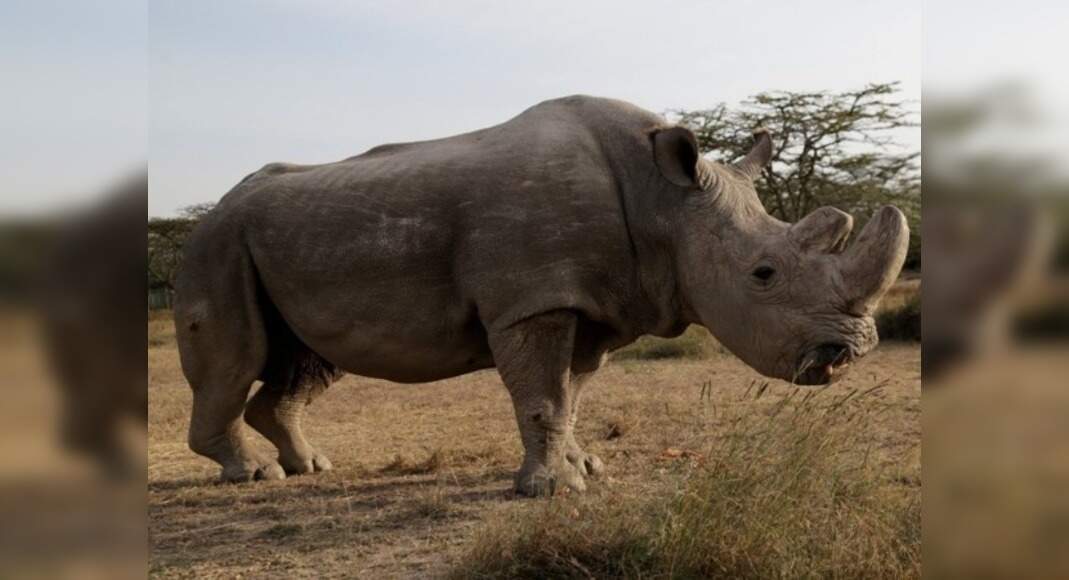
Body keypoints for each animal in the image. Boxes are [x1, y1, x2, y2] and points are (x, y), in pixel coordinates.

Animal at [175, 95, 908, 495]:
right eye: (763, 273)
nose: (848, 353)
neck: (664, 202)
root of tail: (212, 209)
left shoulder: (595, 304)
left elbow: (570, 397)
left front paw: (587, 467)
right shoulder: (532, 301)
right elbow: (541, 397)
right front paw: (551, 491)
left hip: (279, 243)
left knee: (306, 362)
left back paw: (310, 468)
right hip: (217, 245)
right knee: (236, 358)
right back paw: (254, 476)